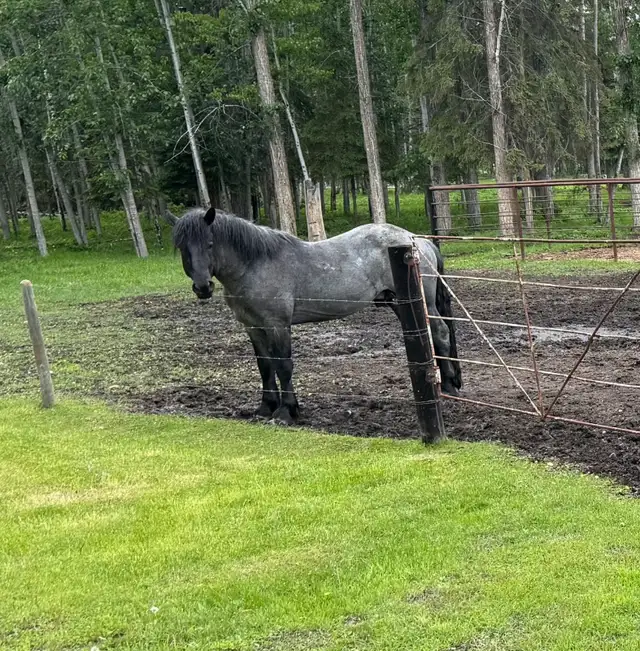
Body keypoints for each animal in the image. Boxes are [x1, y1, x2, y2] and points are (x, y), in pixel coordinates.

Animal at [164, 206, 462, 425]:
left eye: (210, 244)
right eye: (182, 248)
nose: (203, 287)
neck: (255, 265)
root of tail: (416, 240)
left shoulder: (277, 325)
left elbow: (283, 365)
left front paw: (286, 412)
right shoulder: (253, 328)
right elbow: (265, 366)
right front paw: (265, 407)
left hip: (422, 304)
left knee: (441, 334)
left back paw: (449, 386)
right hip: (400, 304)